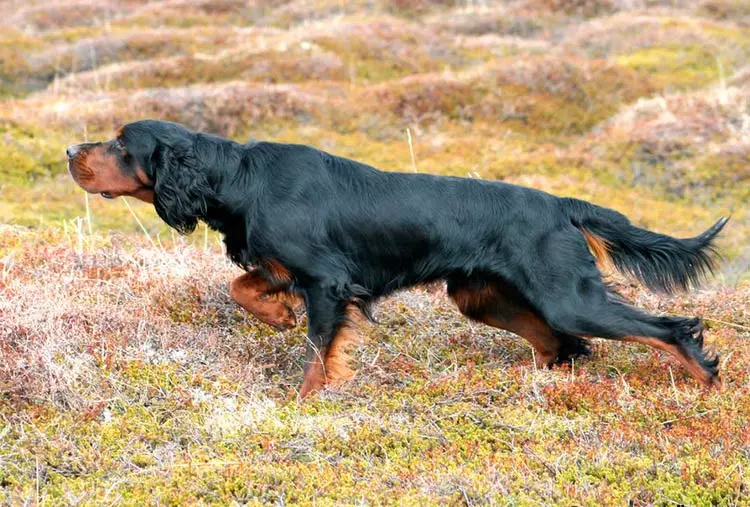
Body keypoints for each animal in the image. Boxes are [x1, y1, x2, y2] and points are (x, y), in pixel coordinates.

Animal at [66, 120, 728, 396]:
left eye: (121, 144)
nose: (71, 150)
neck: (240, 178)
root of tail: (560, 205)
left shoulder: (328, 283)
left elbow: (318, 353)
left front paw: (305, 402)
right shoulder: (290, 269)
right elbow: (244, 287)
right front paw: (277, 316)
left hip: (568, 296)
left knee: (668, 327)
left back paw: (704, 380)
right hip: (481, 297)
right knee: (560, 346)